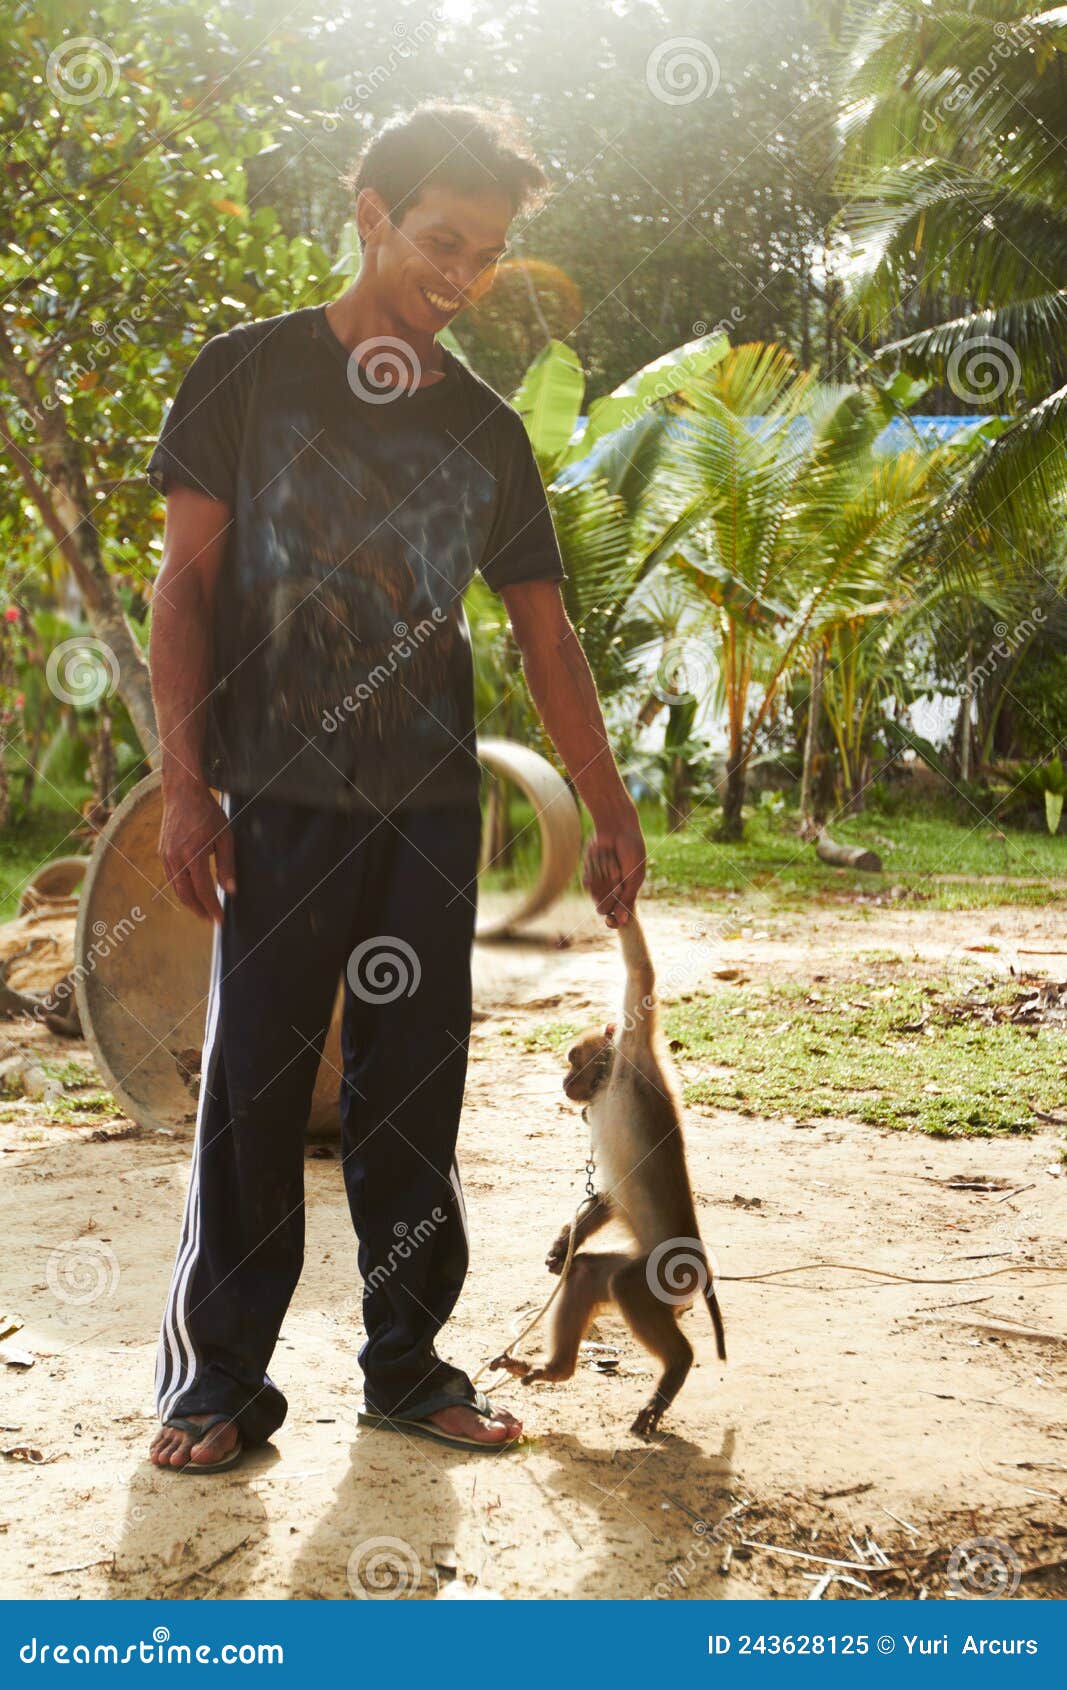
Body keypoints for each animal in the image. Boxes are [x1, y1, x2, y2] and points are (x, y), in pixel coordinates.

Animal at [496, 912, 726, 1439]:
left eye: (571, 1060)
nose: (563, 1082)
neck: (608, 1081)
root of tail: (699, 1265)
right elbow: (607, 1199)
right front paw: (565, 1241)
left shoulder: (635, 1050)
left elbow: (641, 973)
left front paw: (621, 908)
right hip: (653, 1277)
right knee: (587, 1274)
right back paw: (557, 1367)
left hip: (665, 1276)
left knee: (627, 1288)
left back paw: (678, 1365)